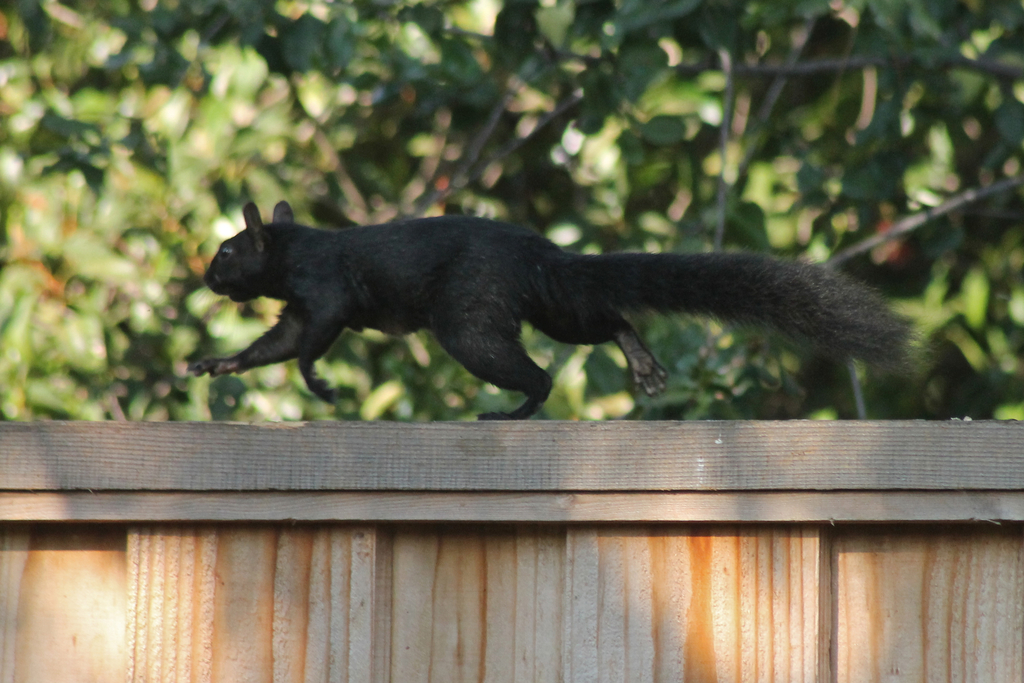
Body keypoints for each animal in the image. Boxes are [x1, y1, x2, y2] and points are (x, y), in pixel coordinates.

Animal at [188, 201, 912, 419]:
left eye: (227, 250)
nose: (205, 275)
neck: (296, 249)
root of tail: (541, 253)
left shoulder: (326, 291)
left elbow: (310, 342)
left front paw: (320, 383)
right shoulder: (296, 309)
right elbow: (274, 345)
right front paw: (216, 362)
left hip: (470, 322)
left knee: (539, 376)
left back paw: (511, 411)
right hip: (551, 311)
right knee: (607, 319)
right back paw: (643, 365)